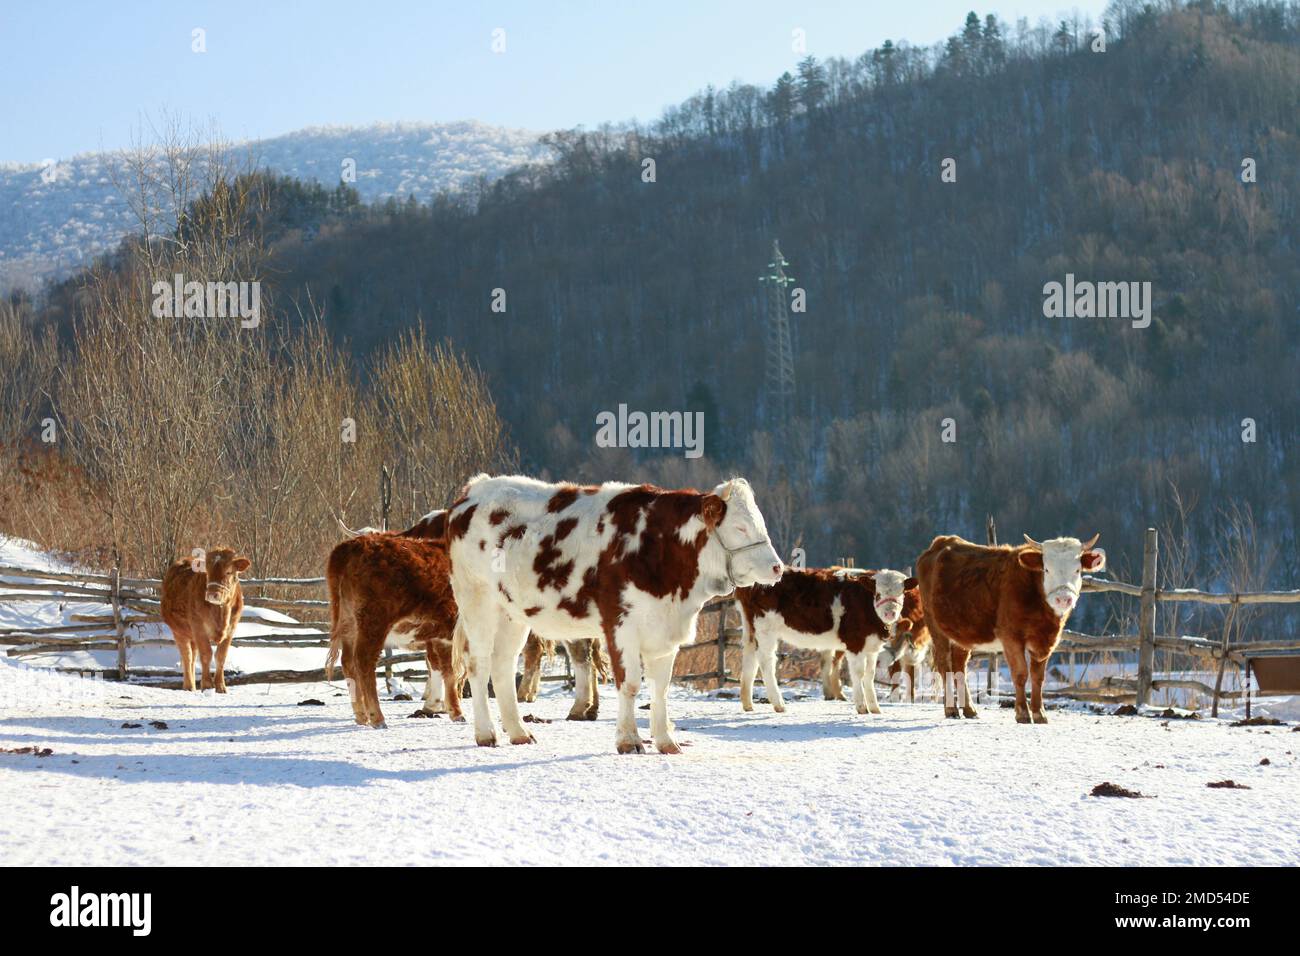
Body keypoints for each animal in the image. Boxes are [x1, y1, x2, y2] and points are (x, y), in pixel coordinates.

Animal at [160, 547, 250, 693]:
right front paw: (207, 684)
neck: (221, 611)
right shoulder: (199, 628)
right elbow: (206, 654)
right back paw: (189, 686)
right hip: (179, 632)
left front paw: (220, 686)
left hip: (192, 636)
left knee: (192, 658)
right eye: (207, 571)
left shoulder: (231, 630)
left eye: (228, 571)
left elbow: (221, 656)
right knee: (187, 657)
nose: (212, 594)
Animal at [325, 511, 465, 727]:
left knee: (348, 662)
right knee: (364, 662)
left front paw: (452, 710)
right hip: (374, 621)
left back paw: (361, 715)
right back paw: (377, 717)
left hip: (348, 622)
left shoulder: (442, 634)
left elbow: (448, 670)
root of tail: (355, 545)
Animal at [446, 474, 783, 753]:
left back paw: (518, 731)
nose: (777, 567)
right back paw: (486, 733)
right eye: (740, 527)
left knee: (502, 666)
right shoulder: (621, 625)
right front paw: (629, 740)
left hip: (511, 614)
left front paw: (666, 741)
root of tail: (474, 489)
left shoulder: (665, 631)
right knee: (479, 665)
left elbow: (660, 688)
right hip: (478, 601)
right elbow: (631, 683)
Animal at [736, 567, 917, 715]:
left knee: (750, 658)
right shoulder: (855, 642)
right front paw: (861, 707)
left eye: (901, 593)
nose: (890, 613)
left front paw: (875, 708)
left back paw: (748, 704)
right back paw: (778, 704)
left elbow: (870, 674)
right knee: (766, 661)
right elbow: (858, 673)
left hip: (751, 628)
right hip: (765, 627)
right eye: (878, 593)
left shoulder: (872, 646)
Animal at [916, 533, 1104, 723]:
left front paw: (1039, 713)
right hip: (936, 628)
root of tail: (942, 542)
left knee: (959, 667)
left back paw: (969, 709)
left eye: (1077, 570)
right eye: (1046, 569)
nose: (1063, 599)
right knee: (944, 666)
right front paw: (1022, 713)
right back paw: (951, 709)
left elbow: (1038, 677)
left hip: (962, 632)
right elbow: (1020, 674)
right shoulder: (1011, 637)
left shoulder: (1044, 640)